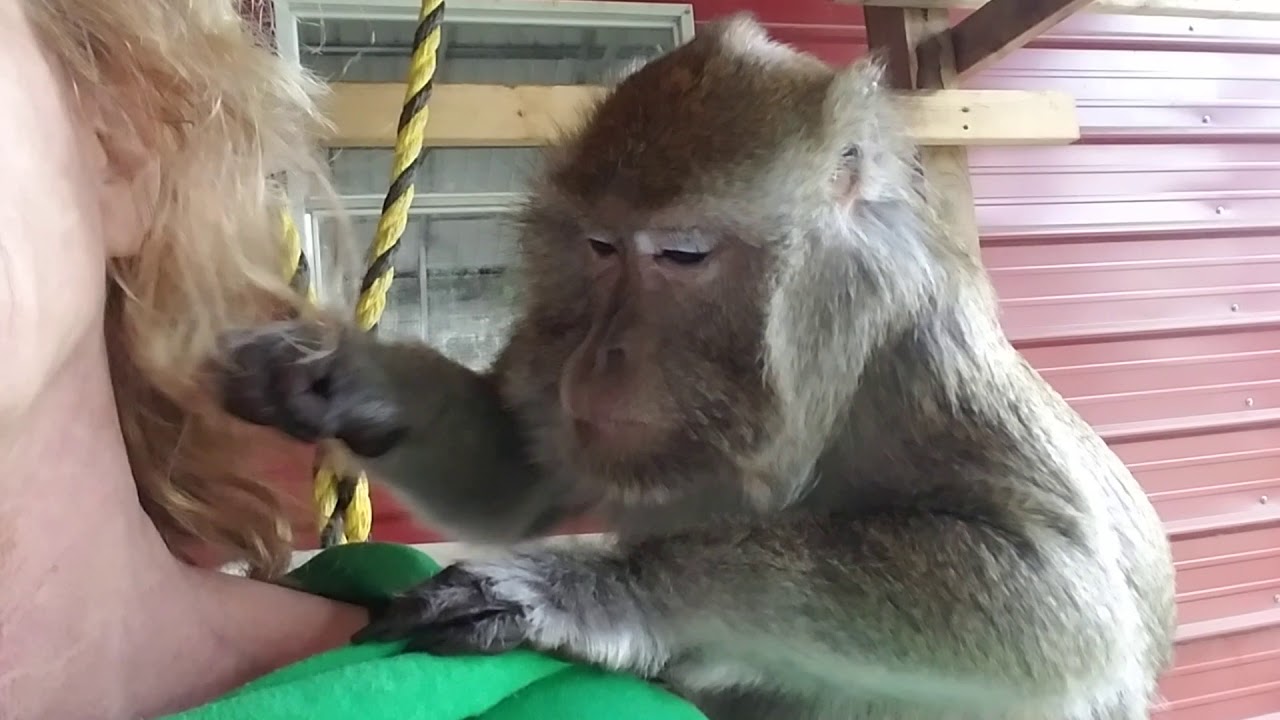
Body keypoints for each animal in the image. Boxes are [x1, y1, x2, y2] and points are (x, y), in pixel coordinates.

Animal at [216, 14, 1177, 720]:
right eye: (600, 248)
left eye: (681, 255)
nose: (601, 354)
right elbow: (514, 482)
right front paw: (352, 382)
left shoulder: (914, 350)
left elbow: (1065, 601)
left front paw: (598, 589)